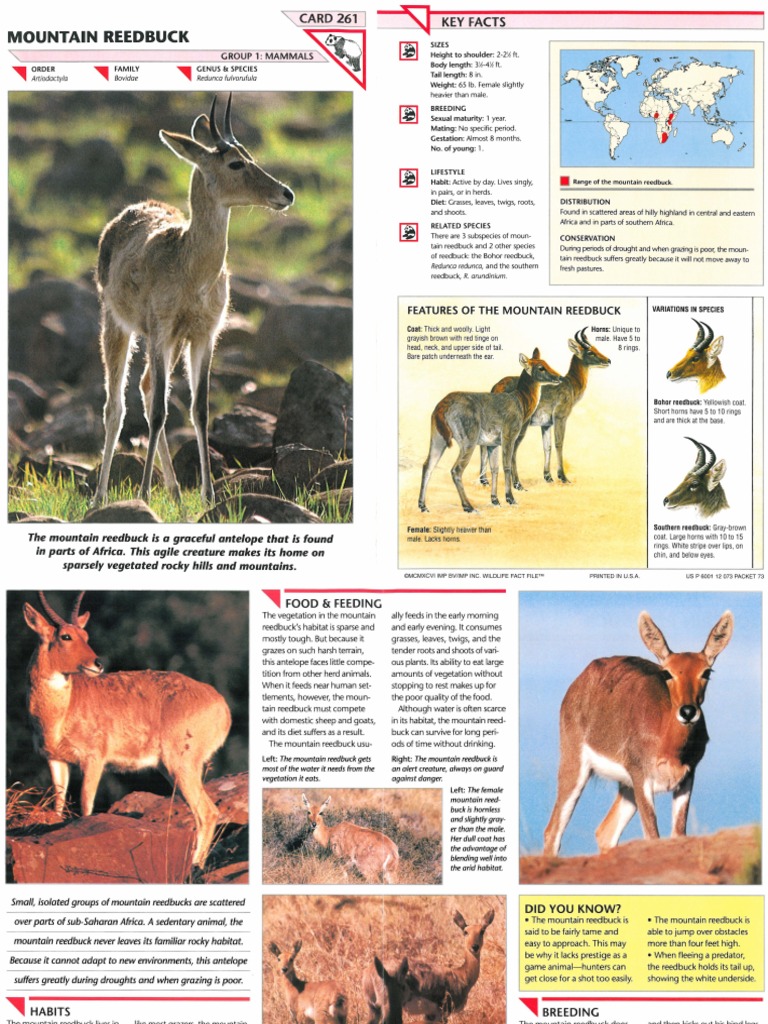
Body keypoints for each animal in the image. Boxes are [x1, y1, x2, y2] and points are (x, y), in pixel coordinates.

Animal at [24, 592, 231, 868]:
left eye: (85, 635)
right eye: (65, 636)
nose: (98, 663)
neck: (61, 713)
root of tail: (221, 705)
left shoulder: (94, 759)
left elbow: (86, 806)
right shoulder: (56, 760)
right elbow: (58, 806)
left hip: (182, 765)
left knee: (208, 812)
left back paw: (195, 865)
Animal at [92, 94, 294, 507]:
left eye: (249, 155)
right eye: (235, 162)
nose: (286, 193)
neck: (192, 271)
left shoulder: (205, 334)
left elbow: (199, 409)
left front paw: (208, 495)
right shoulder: (160, 330)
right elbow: (157, 412)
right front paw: (143, 494)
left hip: (171, 343)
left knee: (147, 387)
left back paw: (175, 492)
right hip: (118, 325)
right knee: (116, 404)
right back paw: (101, 496)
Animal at [418, 349, 562, 513]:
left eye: (546, 362)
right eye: (540, 367)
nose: (559, 377)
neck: (521, 403)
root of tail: (441, 408)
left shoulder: (493, 443)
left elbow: (495, 468)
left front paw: (495, 500)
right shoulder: (508, 436)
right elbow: (506, 466)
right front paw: (510, 498)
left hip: (438, 438)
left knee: (427, 465)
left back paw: (423, 506)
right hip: (468, 440)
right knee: (456, 470)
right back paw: (469, 507)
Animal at [479, 328, 611, 485]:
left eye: (596, 348)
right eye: (590, 352)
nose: (608, 360)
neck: (570, 385)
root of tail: (496, 388)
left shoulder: (546, 424)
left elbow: (547, 447)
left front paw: (548, 477)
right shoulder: (560, 418)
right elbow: (559, 443)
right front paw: (563, 477)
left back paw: (484, 480)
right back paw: (513, 483)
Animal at [543, 610, 734, 856]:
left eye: (707, 672)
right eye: (667, 673)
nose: (688, 711)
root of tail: (581, 679)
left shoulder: (686, 778)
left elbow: (678, 835)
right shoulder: (642, 777)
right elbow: (652, 836)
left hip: (626, 787)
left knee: (605, 832)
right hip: (575, 768)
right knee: (553, 831)